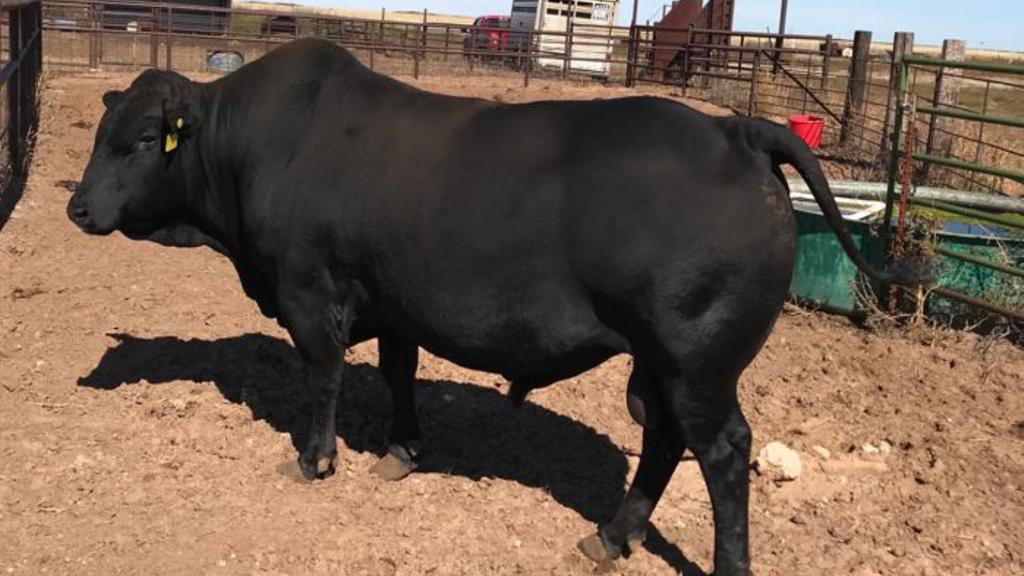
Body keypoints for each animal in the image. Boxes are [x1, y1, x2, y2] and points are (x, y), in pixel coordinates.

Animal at [67, 38, 922, 576]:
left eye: (139, 141)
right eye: (103, 134)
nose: (76, 207)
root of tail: (733, 129)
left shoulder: (311, 295)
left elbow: (326, 380)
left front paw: (315, 459)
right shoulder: (394, 300)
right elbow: (399, 373)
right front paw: (401, 452)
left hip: (699, 359)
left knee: (722, 451)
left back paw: (719, 561)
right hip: (663, 363)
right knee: (662, 438)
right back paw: (611, 536)